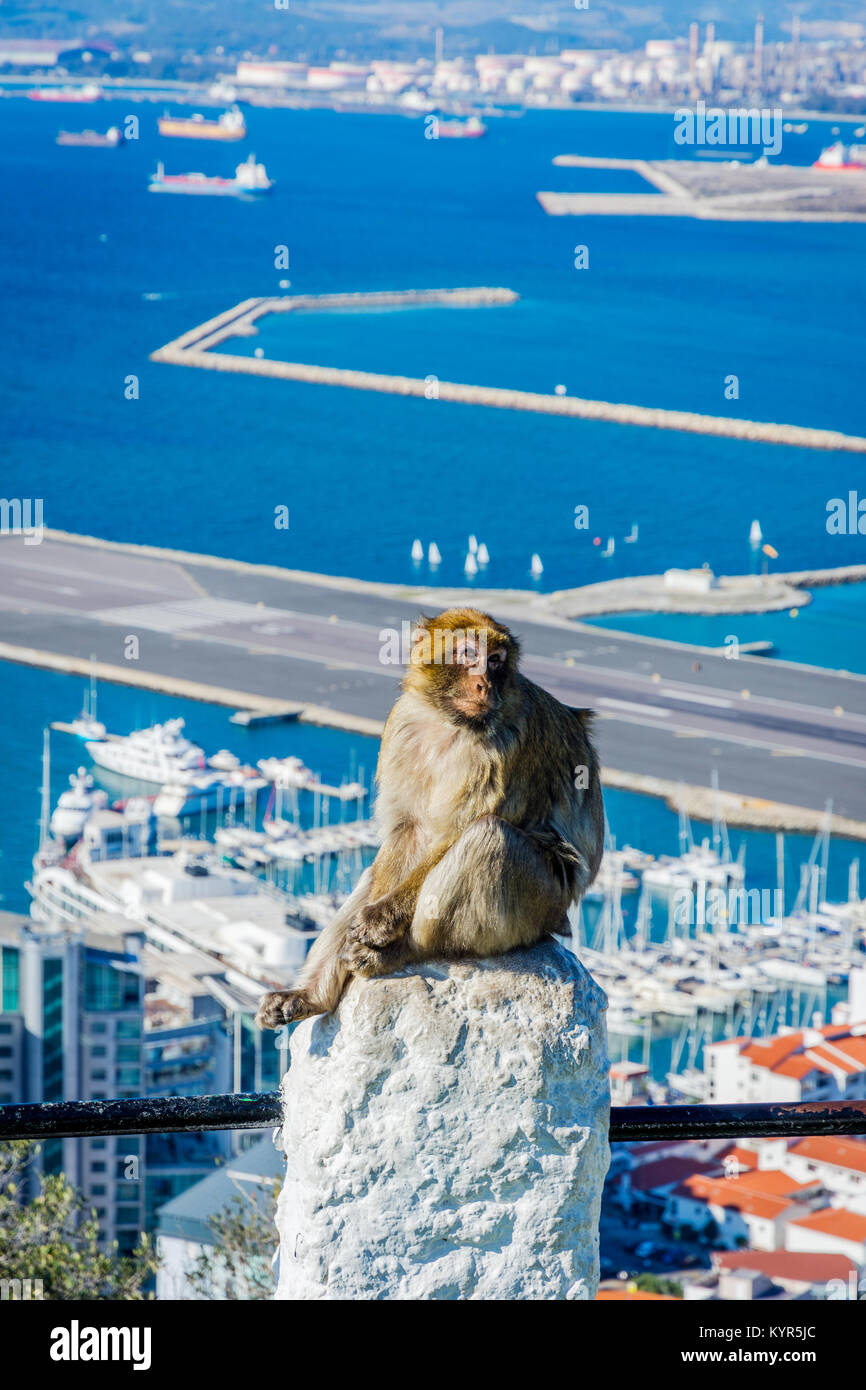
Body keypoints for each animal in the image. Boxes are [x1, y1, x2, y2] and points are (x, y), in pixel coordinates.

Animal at [256, 607, 604, 1028]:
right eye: (468, 653)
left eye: (495, 660)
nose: (485, 685)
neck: (448, 721)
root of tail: (563, 917)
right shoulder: (402, 722)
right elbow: (409, 831)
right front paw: (370, 927)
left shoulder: (506, 742)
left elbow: (455, 833)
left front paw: (381, 923)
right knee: (379, 871)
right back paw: (312, 996)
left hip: (542, 902)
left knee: (489, 837)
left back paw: (408, 949)